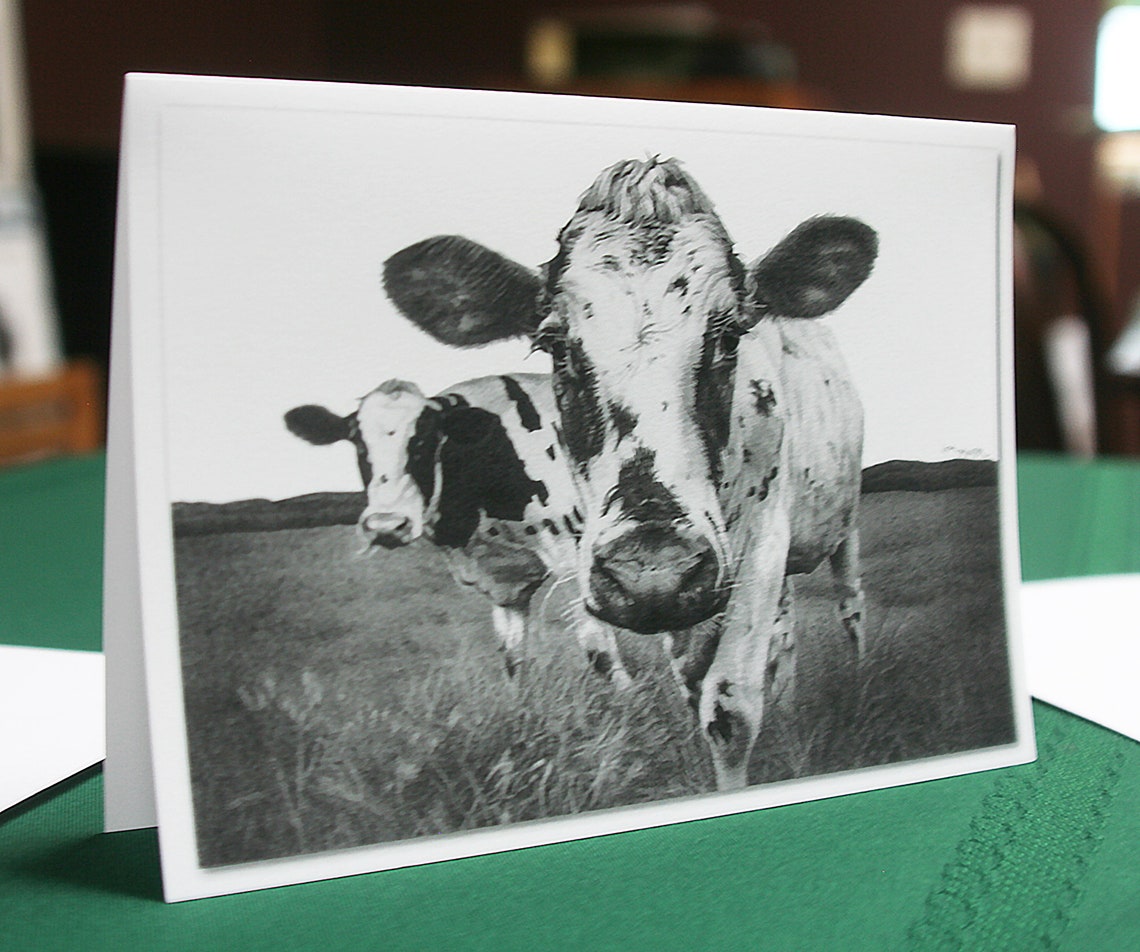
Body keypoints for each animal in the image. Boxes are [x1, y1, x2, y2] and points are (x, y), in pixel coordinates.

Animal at [285, 373, 632, 688]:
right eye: (358, 442)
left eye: (424, 439)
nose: (386, 525)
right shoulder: (504, 583)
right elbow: (513, 662)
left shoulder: (572, 560)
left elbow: (601, 652)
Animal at [380, 157, 878, 790]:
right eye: (554, 345)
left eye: (729, 335)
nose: (651, 570)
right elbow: (692, 682)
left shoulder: (764, 540)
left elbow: (730, 709)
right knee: (785, 634)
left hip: (846, 523)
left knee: (851, 607)